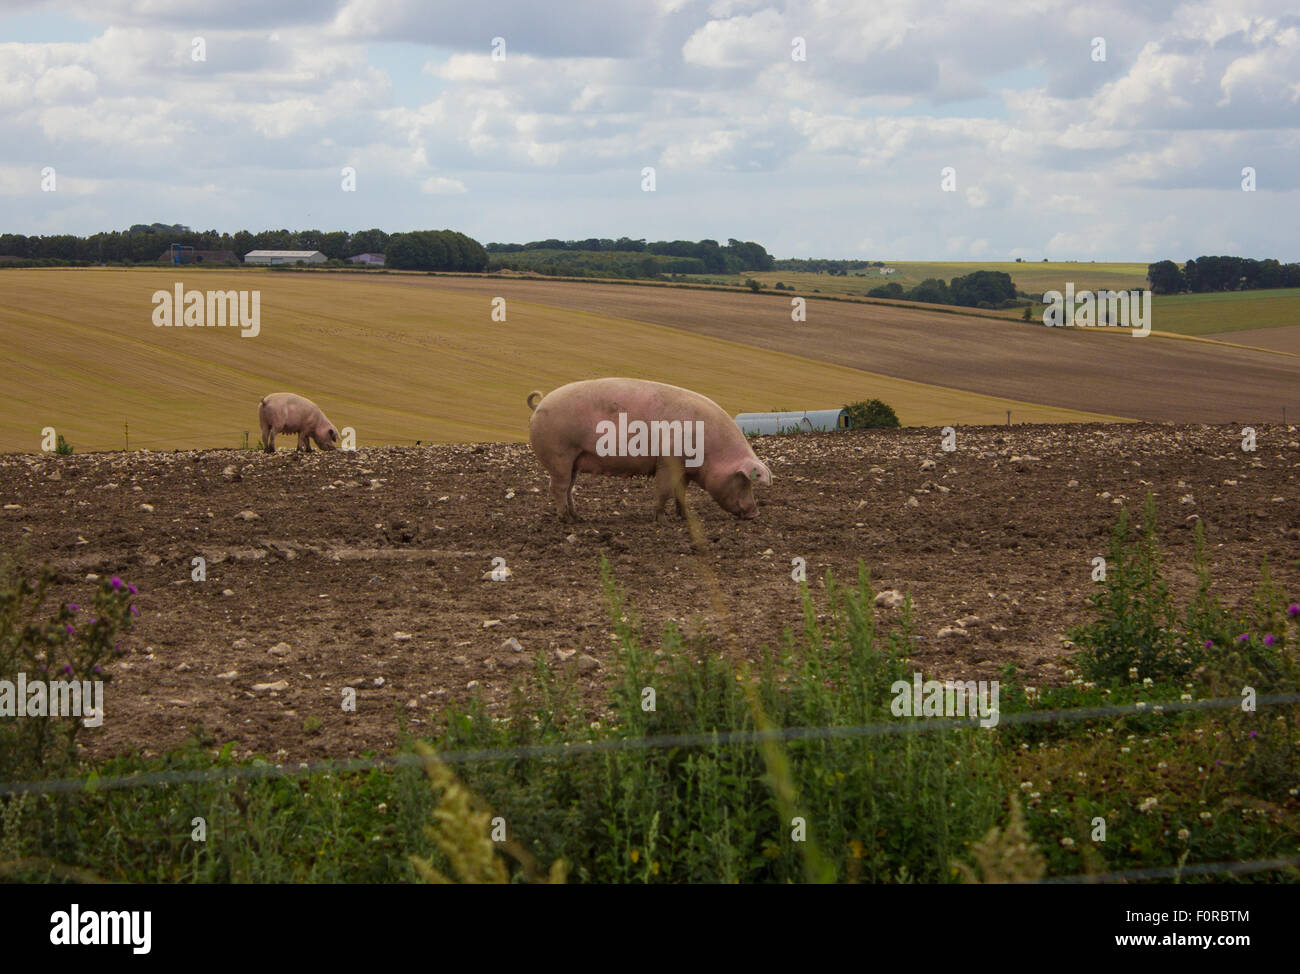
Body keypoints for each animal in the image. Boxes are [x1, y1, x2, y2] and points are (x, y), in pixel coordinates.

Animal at [526, 378, 772, 521]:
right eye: (744, 481)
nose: (755, 513)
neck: (713, 450)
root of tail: (539, 405)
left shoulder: (685, 469)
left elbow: (681, 493)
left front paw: (684, 518)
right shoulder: (668, 461)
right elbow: (663, 491)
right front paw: (661, 520)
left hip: (574, 460)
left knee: (569, 487)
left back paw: (578, 517)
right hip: (559, 454)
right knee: (557, 487)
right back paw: (566, 520)